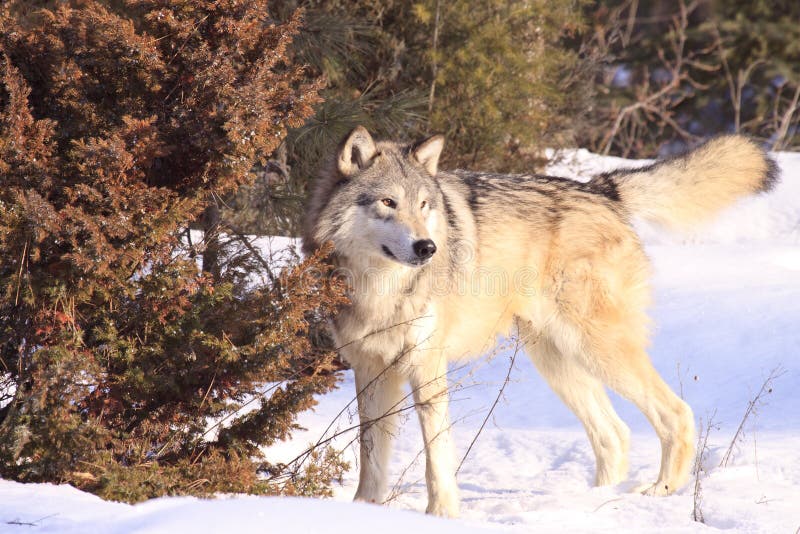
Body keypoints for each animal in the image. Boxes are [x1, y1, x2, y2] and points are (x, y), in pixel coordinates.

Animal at [303, 126, 777, 517]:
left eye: (423, 205)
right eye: (388, 202)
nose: (428, 247)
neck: (379, 288)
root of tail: (601, 190)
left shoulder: (426, 368)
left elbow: (436, 456)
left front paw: (441, 515)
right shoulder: (370, 371)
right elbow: (371, 457)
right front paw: (363, 512)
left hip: (597, 349)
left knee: (676, 413)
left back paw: (656, 493)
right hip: (557, 361)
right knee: (614, 434)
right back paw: (589, 504)